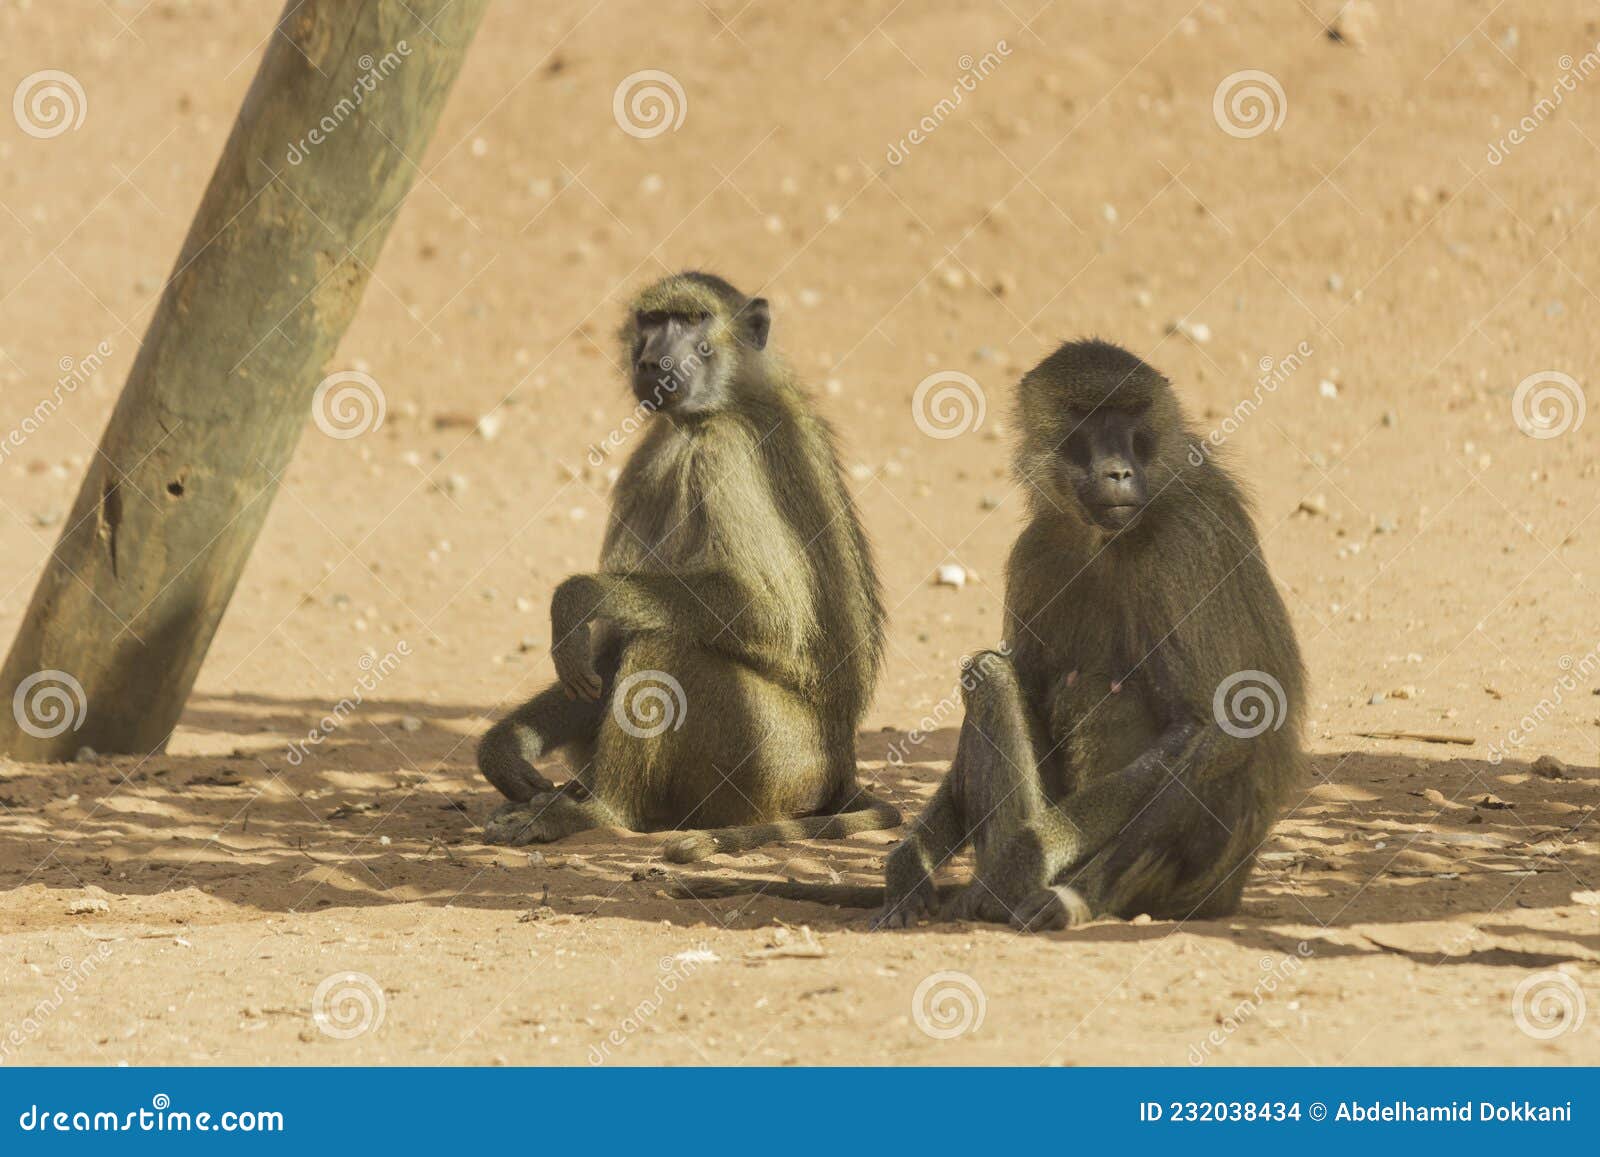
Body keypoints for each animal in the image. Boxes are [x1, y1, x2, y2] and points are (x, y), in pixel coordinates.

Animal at [476, 271, 900, 862]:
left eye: (694, 321)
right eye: (652, 321)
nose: (653, 361)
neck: (723, 402)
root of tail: (842, 767)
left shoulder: (727, 451)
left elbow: (771, 611)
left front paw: (579, 596)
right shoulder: (653, 455)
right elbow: (601, 655)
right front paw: (506, 747)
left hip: (776, 761)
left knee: (665, 647)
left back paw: (597, 811)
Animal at [671, 339, 1305, 932]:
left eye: (1131, 420)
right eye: (1087, 420)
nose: (1120, 472)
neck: (1105, 536)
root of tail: (1230, 892)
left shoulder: (1185, 547)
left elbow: (1211, 723)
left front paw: (1037, 865)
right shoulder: (1035, 549)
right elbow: (1025, 677)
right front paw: (908, 867)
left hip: (1194, 878)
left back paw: (1046, 894)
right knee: (990, 674)